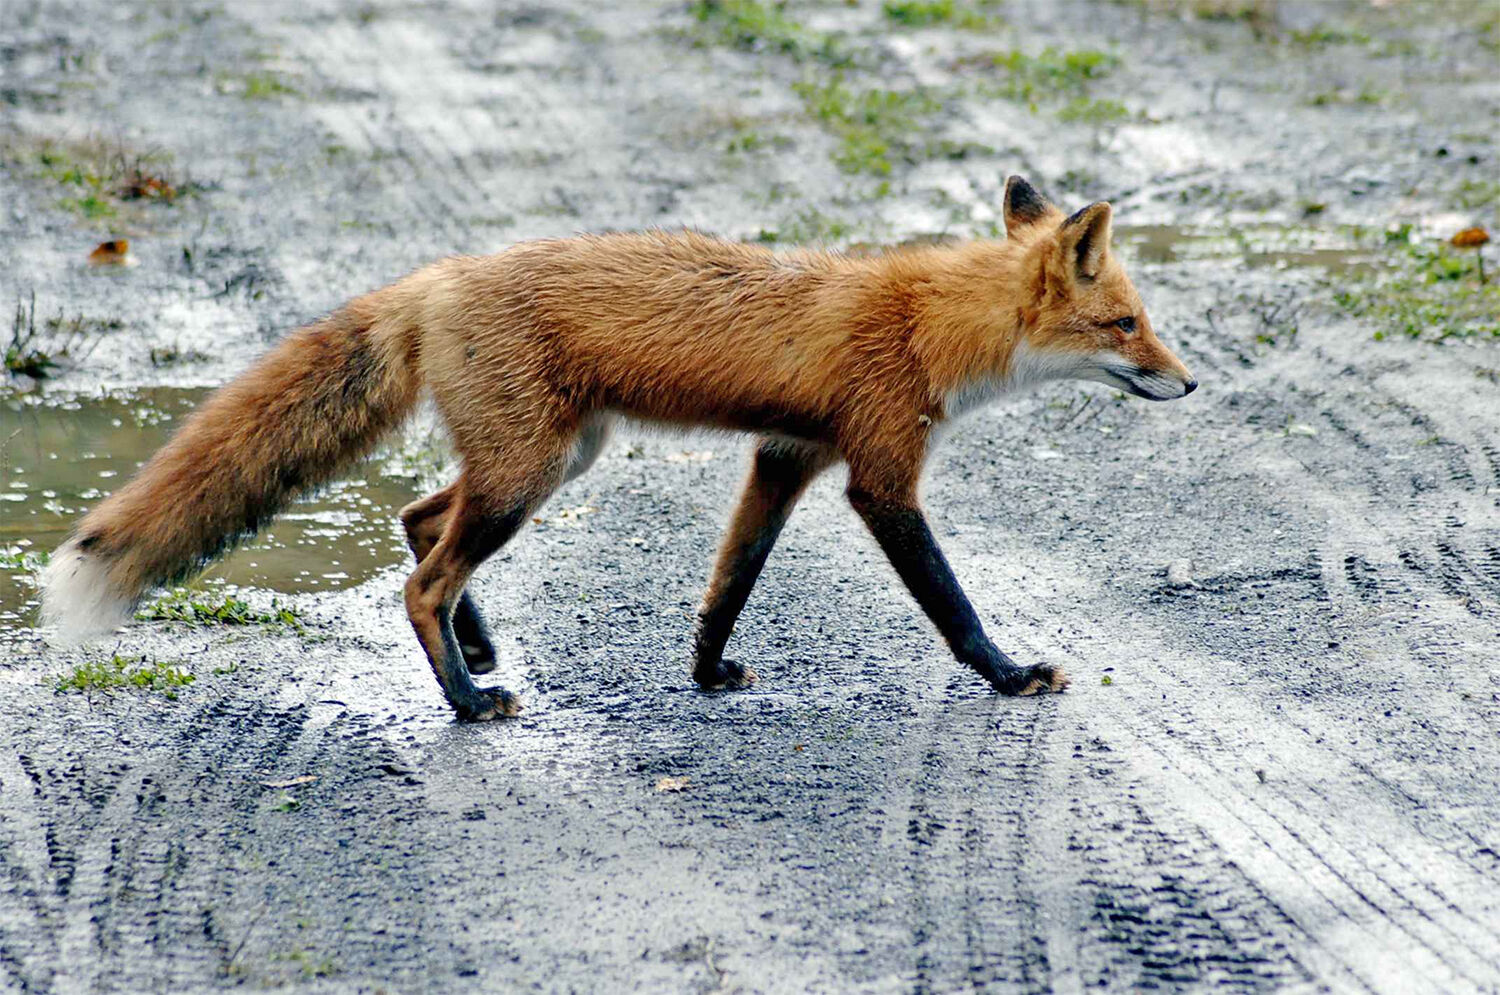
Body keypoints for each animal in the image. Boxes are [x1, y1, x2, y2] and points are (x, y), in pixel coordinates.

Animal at [41, 176, 1195, 721]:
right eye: (1128, 325)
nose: (1191, 383)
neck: (927, 323)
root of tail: (438, 277)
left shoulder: (784, 456)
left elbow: (730, 580)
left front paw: (705, 669)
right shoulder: (879, 474)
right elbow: (952, 605)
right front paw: (1009, 675)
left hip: (552, 458)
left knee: (417, 521)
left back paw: (477, 649)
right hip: (531, 473)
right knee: (422, 576)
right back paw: (467, 699)